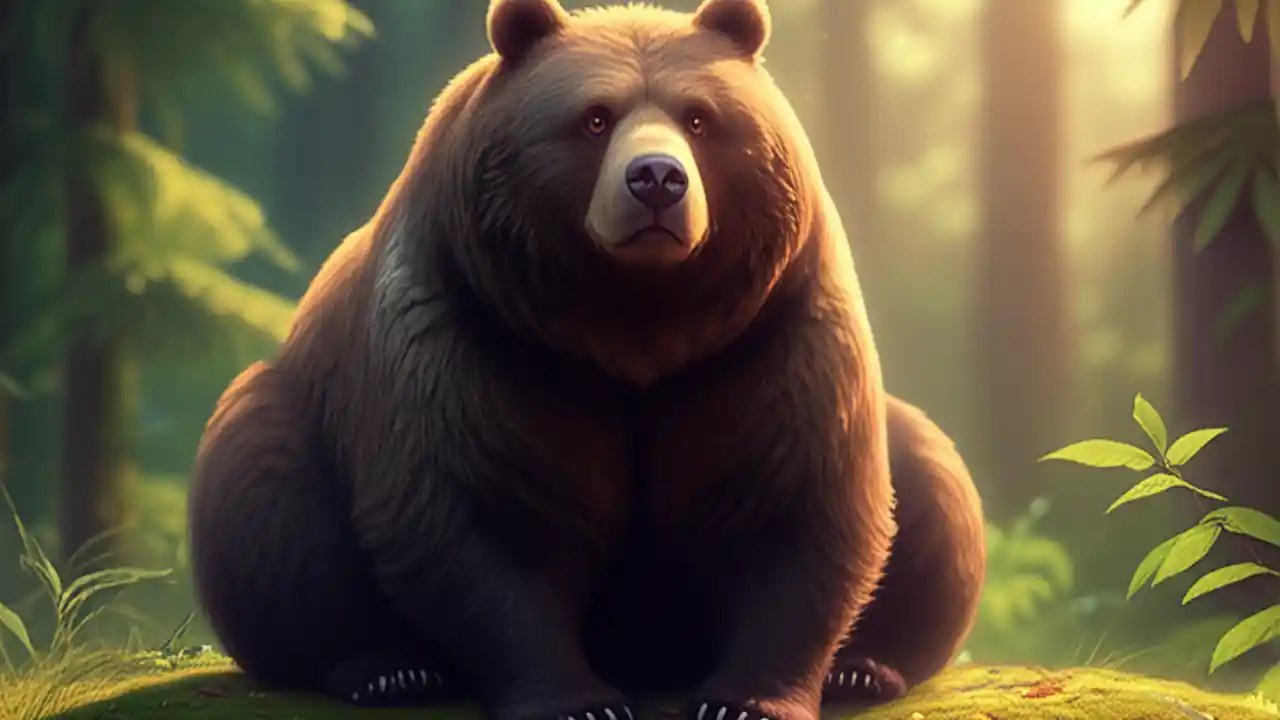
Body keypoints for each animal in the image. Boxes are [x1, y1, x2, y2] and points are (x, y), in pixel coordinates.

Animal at [186, 2, 986, 720]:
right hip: (293, 412)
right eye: (595, 118)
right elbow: (486, 516)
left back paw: (865, 667)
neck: (632, 325)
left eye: (700, 118)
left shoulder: (770, 335)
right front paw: (579, 702)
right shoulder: (477, 333)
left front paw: (745, 701)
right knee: (269, 500)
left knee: (934, 481)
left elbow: (794, 504)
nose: (657, 178)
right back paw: (388, 670)